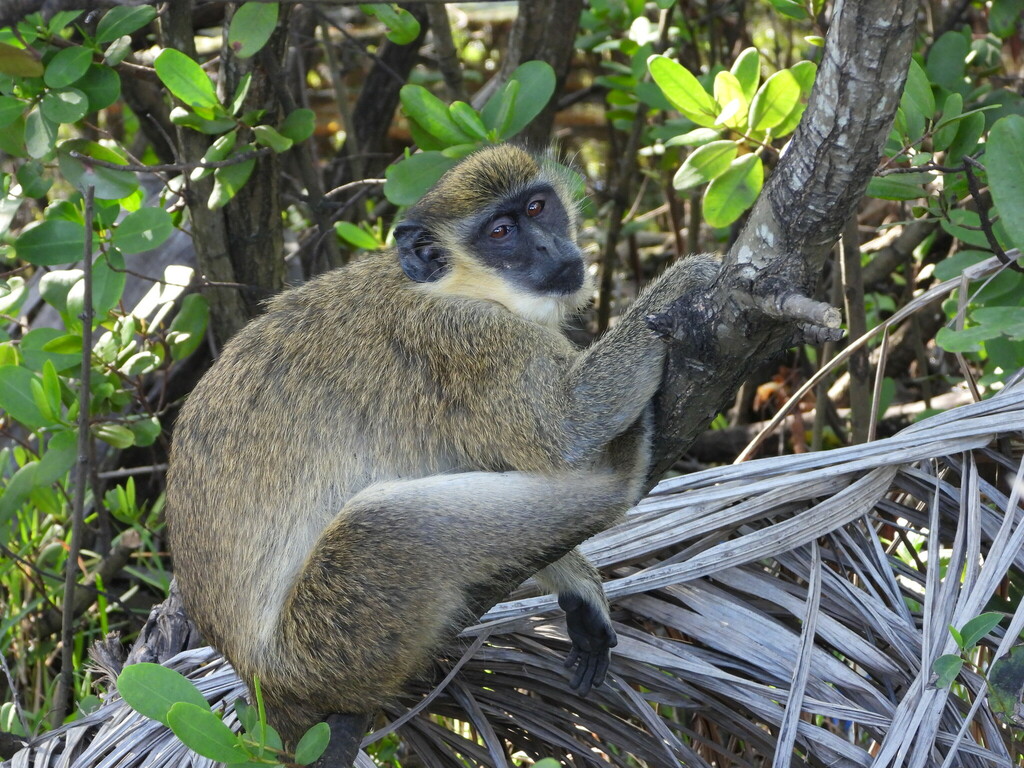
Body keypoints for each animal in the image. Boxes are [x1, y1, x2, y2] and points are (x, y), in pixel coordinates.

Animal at [165, 143, 719, 766]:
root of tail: (266, 687)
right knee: (383, 526)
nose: (551, 248)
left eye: (537, 207)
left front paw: (574, 581)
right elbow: (566, 429)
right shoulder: (467, 343)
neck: (453, 287)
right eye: (500, 232)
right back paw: (616, 479)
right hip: (328, 643)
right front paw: (691, 276)